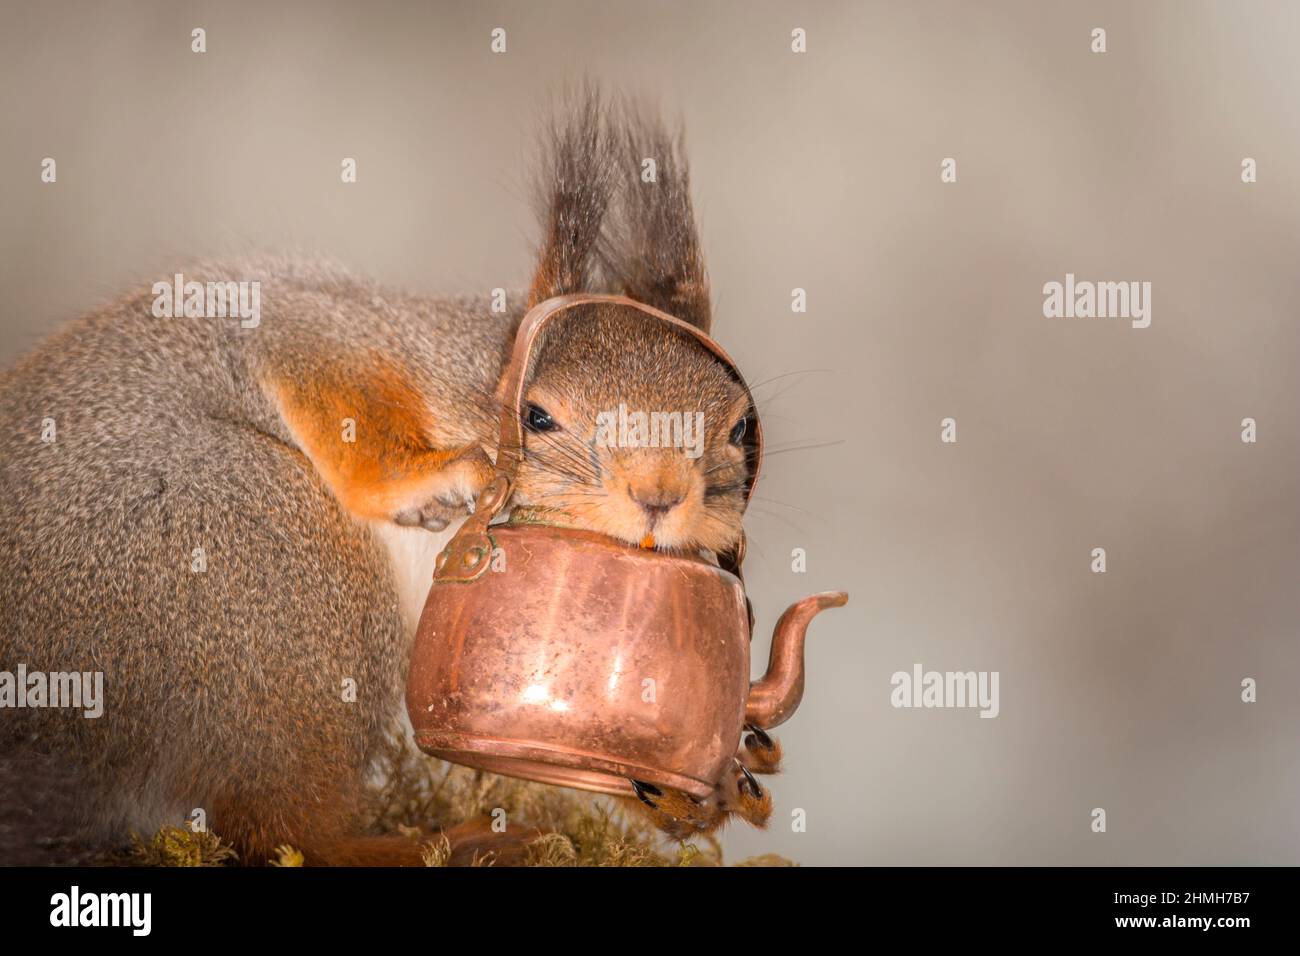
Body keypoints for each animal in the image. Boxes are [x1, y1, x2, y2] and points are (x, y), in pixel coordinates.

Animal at [0, 87, 782, 865]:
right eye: (537, 417)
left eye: (742, 428)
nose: (660, 494)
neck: (481, 378)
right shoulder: (348, 336)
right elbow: (310, 360)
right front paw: (427, 477)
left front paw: (696, 790)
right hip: (241, 546)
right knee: (286, 829)